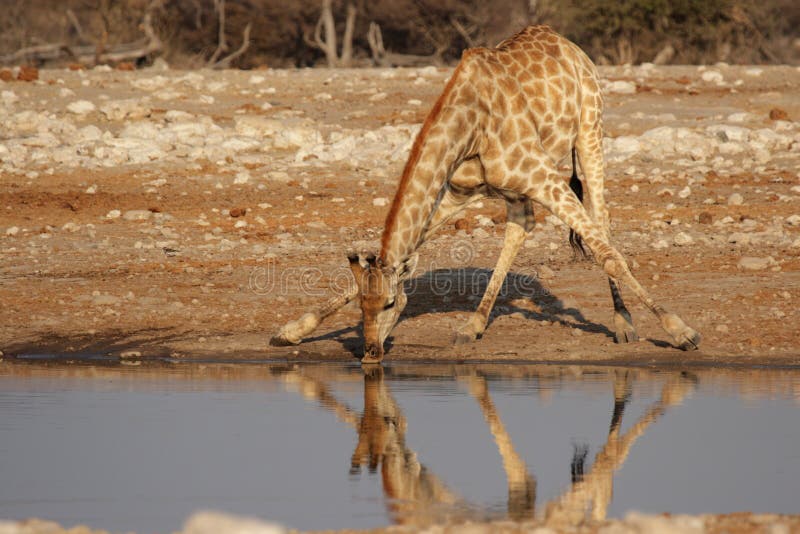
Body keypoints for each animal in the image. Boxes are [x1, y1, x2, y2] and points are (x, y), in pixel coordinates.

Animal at [272, 25, 701, 363]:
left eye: (391, 303)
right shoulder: (458, 191)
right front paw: (291, 330)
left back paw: (623, 323)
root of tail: (569, 44)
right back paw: (473, 324)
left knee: (600, 221)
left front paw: (681, 331)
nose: (371, 353)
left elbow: (607, 254)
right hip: (516, 187)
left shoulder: (544, 178)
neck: (469, 125)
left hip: (589, 133)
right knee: (522, 226)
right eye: (365, 304)